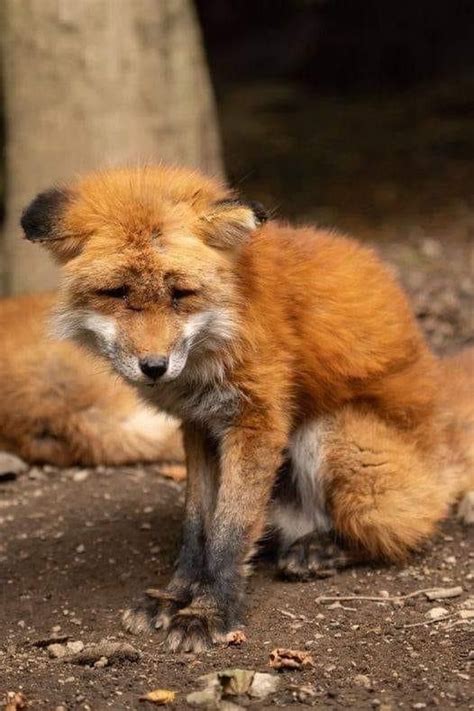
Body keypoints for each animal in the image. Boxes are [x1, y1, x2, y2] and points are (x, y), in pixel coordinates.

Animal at [21, 165, 473, 653]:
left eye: (181, 293)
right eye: (117, 292)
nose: (154, 367)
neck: (224, 323)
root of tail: (443, 438)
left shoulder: (257, 419)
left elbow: (230, 533)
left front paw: (208, 612)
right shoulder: (199, 425)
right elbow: (198, 528)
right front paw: (175, 597)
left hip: (332, 435)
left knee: (401, 527)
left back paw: (322, 549)